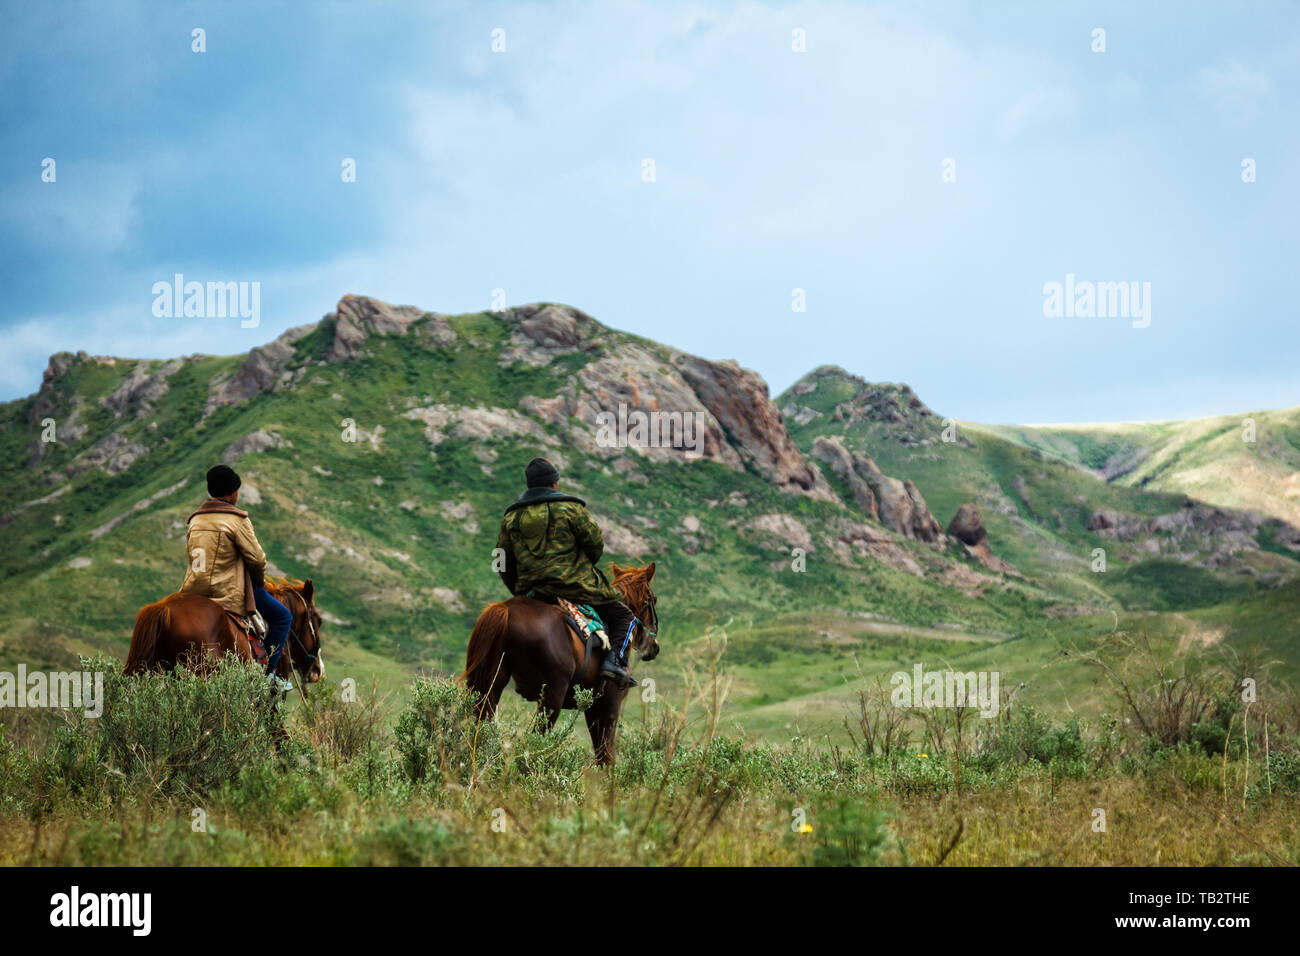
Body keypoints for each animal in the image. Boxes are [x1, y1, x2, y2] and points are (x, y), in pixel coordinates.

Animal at [461, 562, 660, 765]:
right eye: (653, 599)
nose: (654, 647)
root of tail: (506, 609)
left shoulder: (592, 708)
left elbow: (600, 754)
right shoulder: (611, 704)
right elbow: (607, 756)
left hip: (492, 685)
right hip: (552, 696)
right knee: (536, 740)